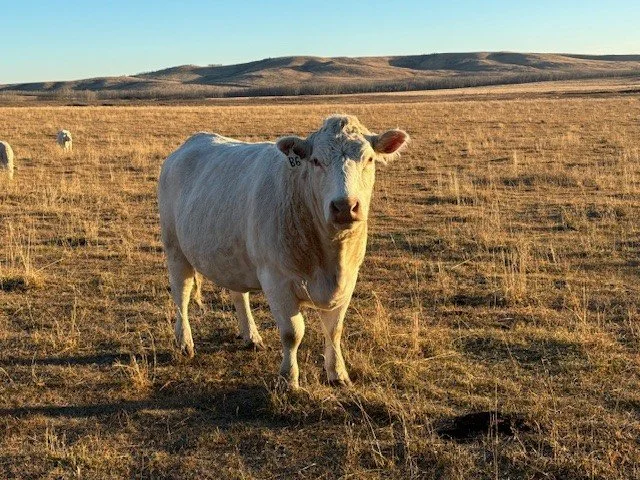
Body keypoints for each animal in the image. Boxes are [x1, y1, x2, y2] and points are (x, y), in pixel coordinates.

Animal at [158, 115, 409, 388]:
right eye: (316, 161)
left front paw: (338, 373)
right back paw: (184, 342)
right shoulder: (276, 279)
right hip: (175, 249)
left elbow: (334, 330)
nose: (344, 206)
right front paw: (289, 379)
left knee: (238, 294)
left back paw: (251, 336)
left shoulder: (349, 279)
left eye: (369, 159)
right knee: (181, 294)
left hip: (233, 255)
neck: (330, 258)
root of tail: (191, 142)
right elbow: (292, 333)